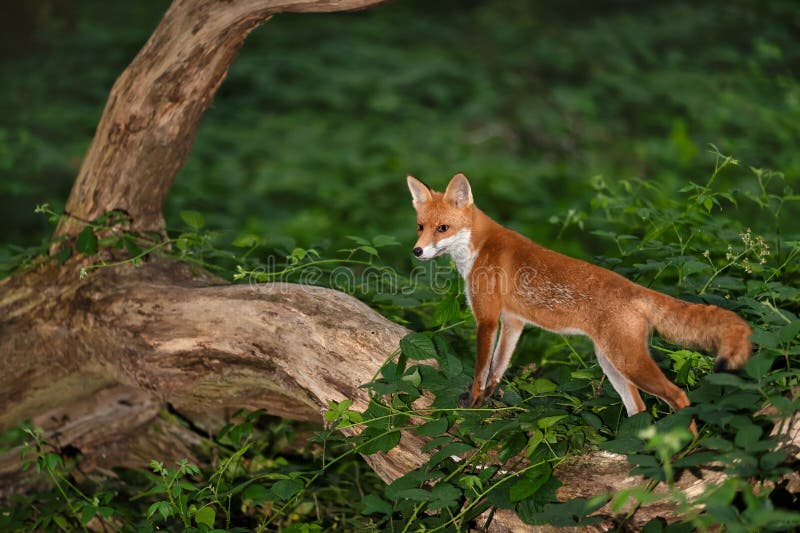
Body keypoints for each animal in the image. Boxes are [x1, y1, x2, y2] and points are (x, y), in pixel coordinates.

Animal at [407, 173, 753, 423]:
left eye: (443, 228)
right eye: (421, 227)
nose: (417, 251)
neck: (479, 248)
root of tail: (636, 289)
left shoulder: (487, 319)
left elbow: (481, 367)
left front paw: (474, 401)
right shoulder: (513, 321)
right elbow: (498, 367)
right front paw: (489, 396)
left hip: (627, 362)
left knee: (679, 396)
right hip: (610, 363)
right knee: (639, 409)